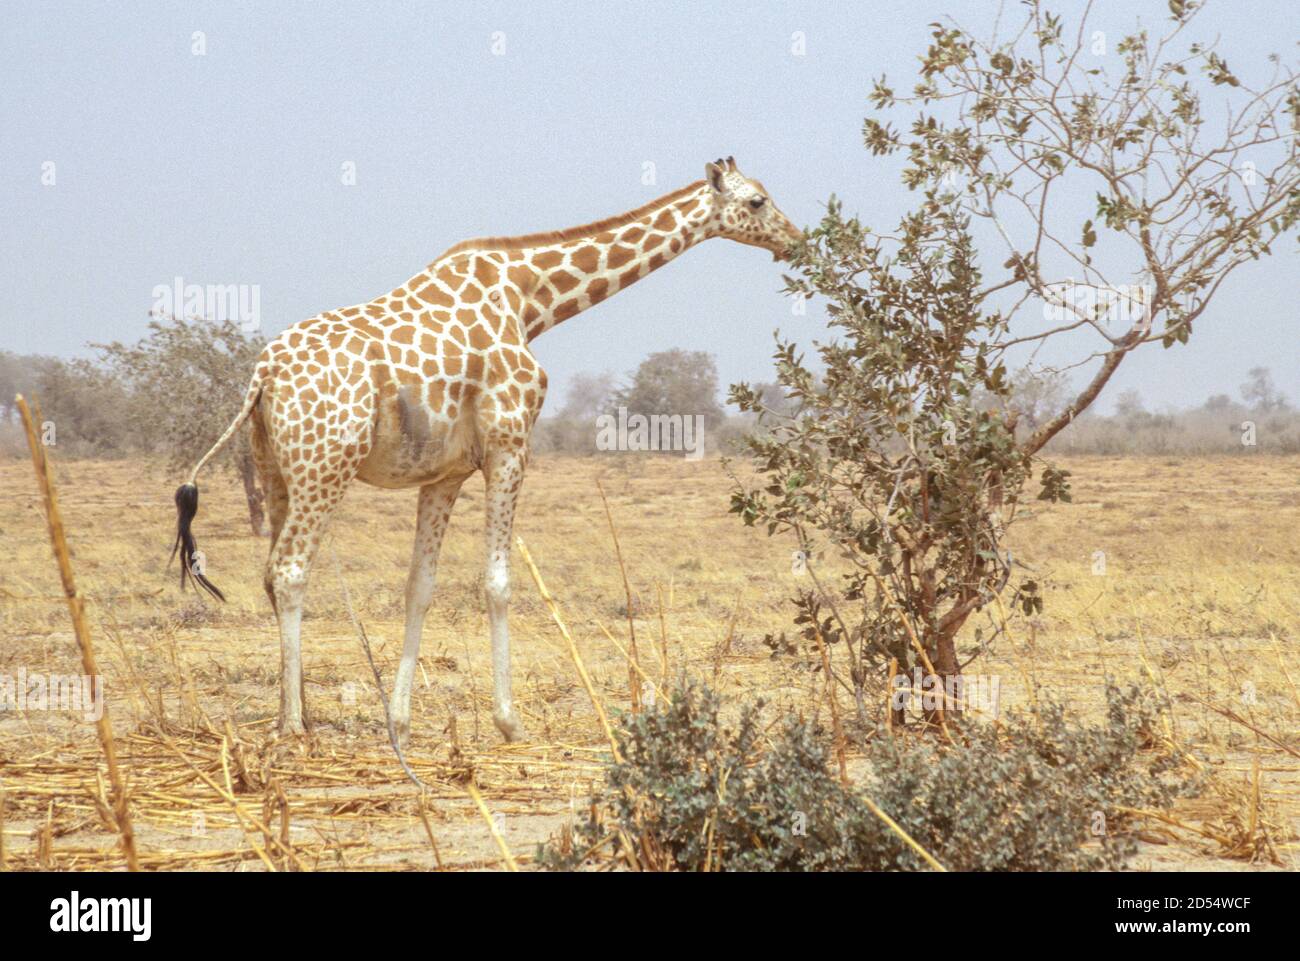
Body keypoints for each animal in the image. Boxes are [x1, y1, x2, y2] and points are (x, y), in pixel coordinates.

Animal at [171, 156, 801, 743]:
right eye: (758, 200)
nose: (796, 240)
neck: (530, 301)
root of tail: (262, 376)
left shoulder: (443, 474)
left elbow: (419, 587)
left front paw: (400, 722)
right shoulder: (510, 445)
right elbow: (498, 583)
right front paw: (509, 722)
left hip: (275, 469)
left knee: (269, 573)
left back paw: (292, 709)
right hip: (325, 467)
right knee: (291, 569)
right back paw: (295, 726)